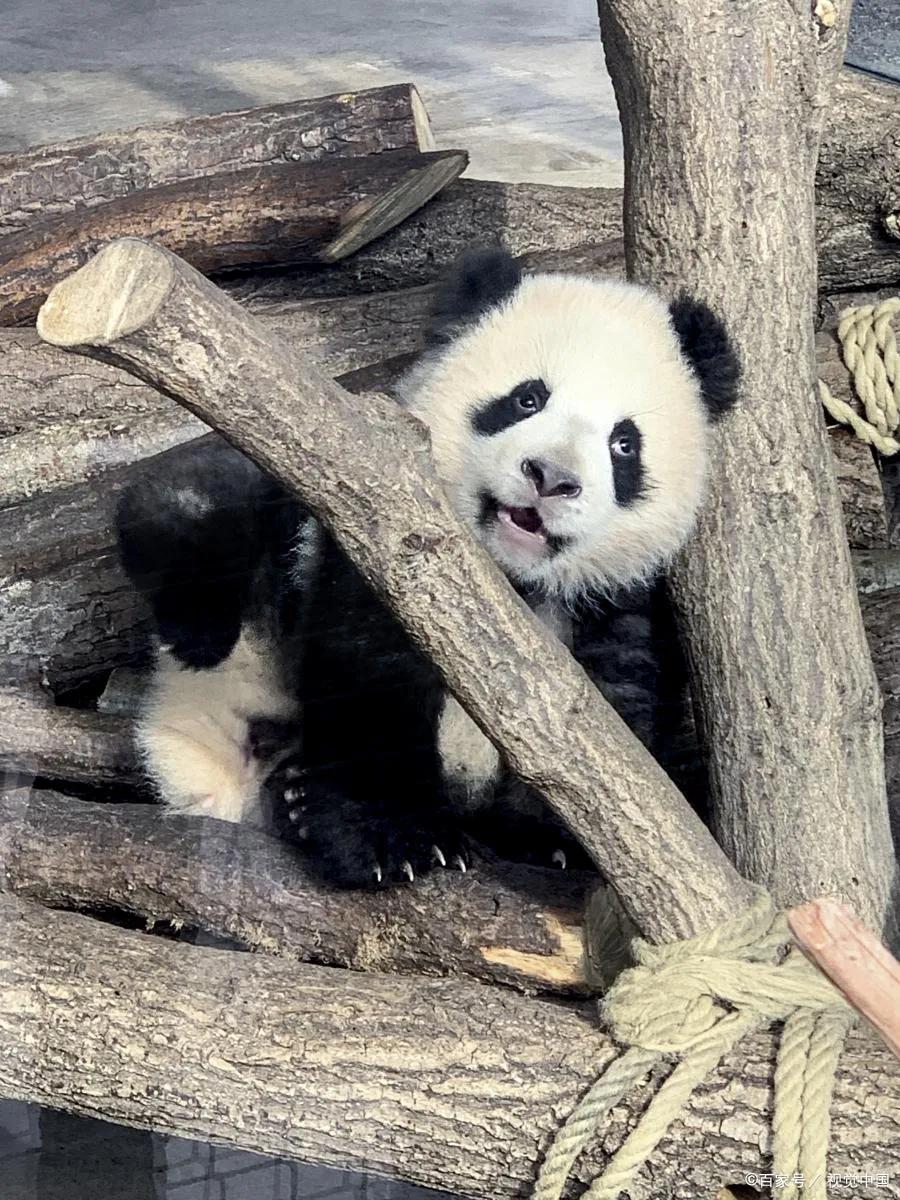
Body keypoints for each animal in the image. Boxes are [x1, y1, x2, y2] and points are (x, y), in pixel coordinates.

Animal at [115, 247, 739, 887]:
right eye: (526, 399)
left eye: (624, 445)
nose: (550, 478)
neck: (507, 580)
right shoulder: (387, 544)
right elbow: (370, 676)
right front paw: (390, 841)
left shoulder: (614, 598)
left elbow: (611, 708)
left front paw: (554, 841)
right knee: (193, 508)